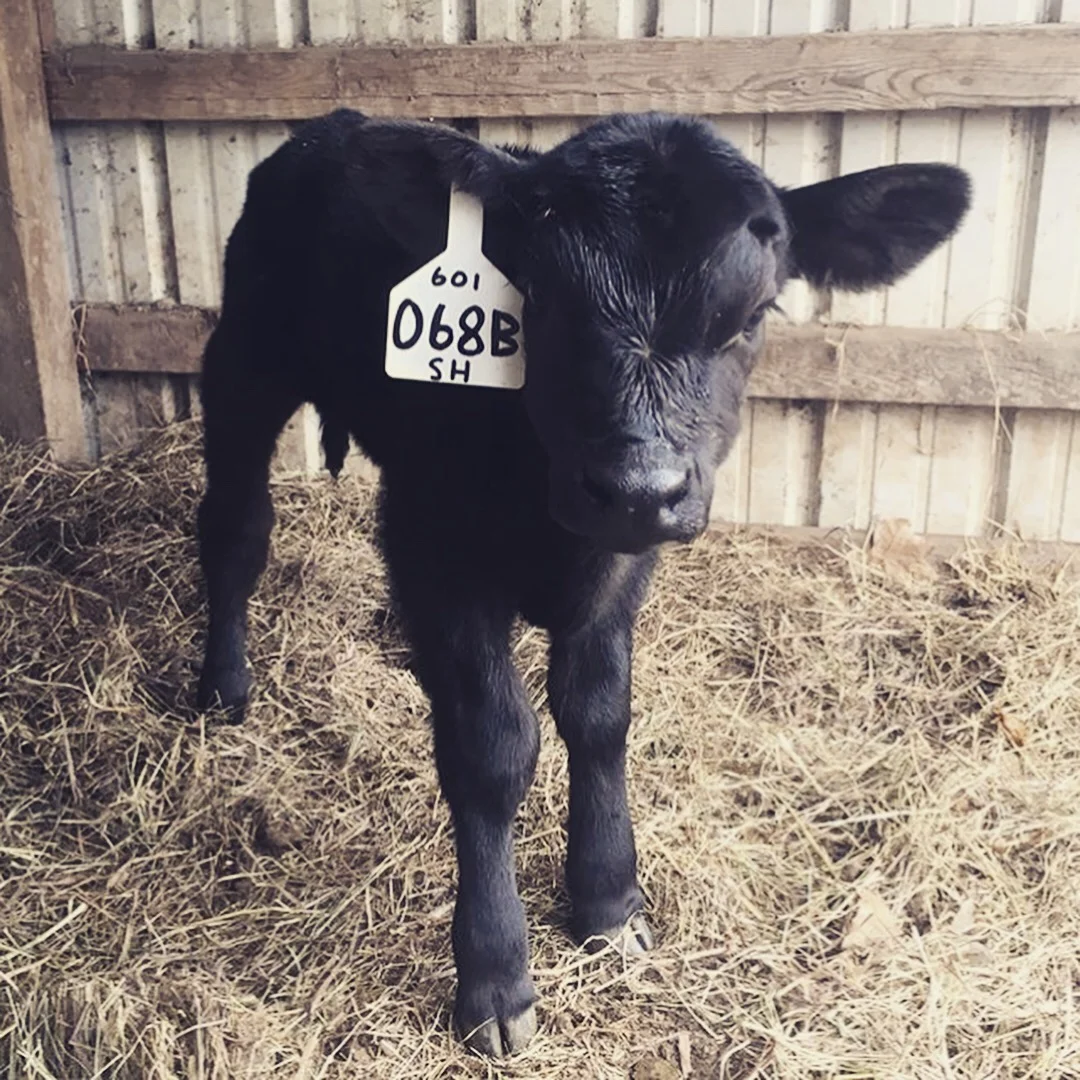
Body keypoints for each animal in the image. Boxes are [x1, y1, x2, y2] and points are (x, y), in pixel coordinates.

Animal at [195, 110, 969, 1057]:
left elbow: (598, 716)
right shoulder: (434, 545)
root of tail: (327, 127)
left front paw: (607, 899)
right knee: (236, 530)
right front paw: (495, 975)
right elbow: (492, 747)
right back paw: (222, 682)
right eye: (539, 299)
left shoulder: (621, 573)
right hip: (242, 363)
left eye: (752, 315)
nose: (638, 487)